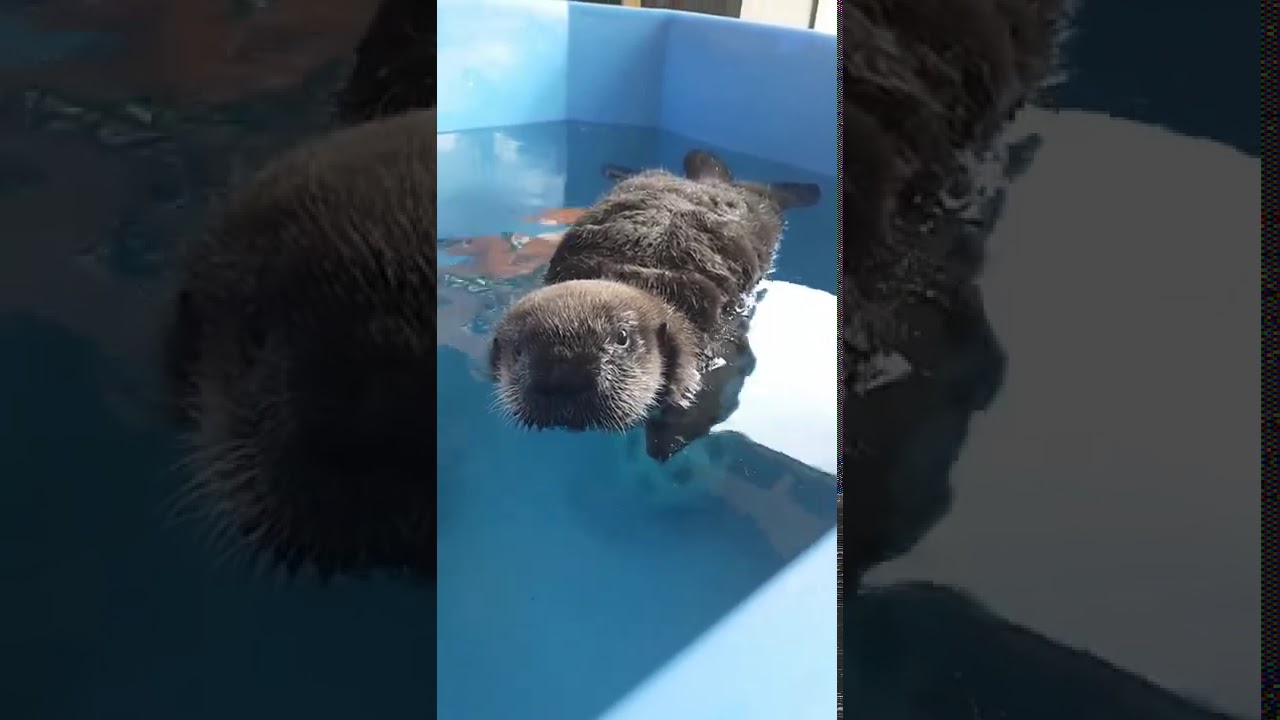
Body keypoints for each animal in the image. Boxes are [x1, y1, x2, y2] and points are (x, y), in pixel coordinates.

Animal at [488, 149, 819, 452]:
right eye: (518, 350)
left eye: (622, 337)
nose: (565, 372)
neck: (634, 277)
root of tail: (712, 181)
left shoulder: (714, 348)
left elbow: (713, 391)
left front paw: (663, 442)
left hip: (760, 208)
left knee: (765, 191)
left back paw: (808, 189)